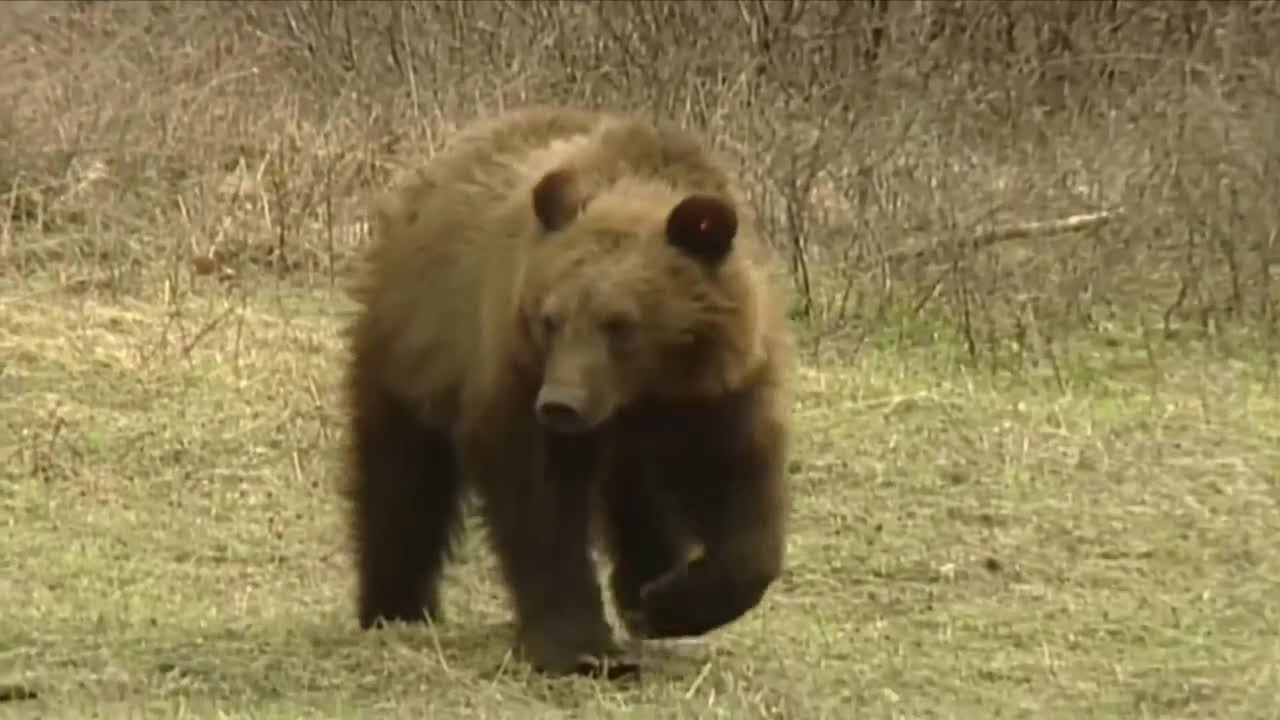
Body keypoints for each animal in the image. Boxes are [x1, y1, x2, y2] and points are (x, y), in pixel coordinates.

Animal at [339, 104, 794, 678]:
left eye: (619, 324)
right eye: (550, 319)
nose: (561, 403)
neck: (643, 391)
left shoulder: (718, 391)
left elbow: (737, 490)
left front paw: (667, 602)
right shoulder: (516, 373)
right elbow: (540, 499)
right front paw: (581, 647)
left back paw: (640, 583)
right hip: (413, 350)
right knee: (401, 478)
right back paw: (396, 606)